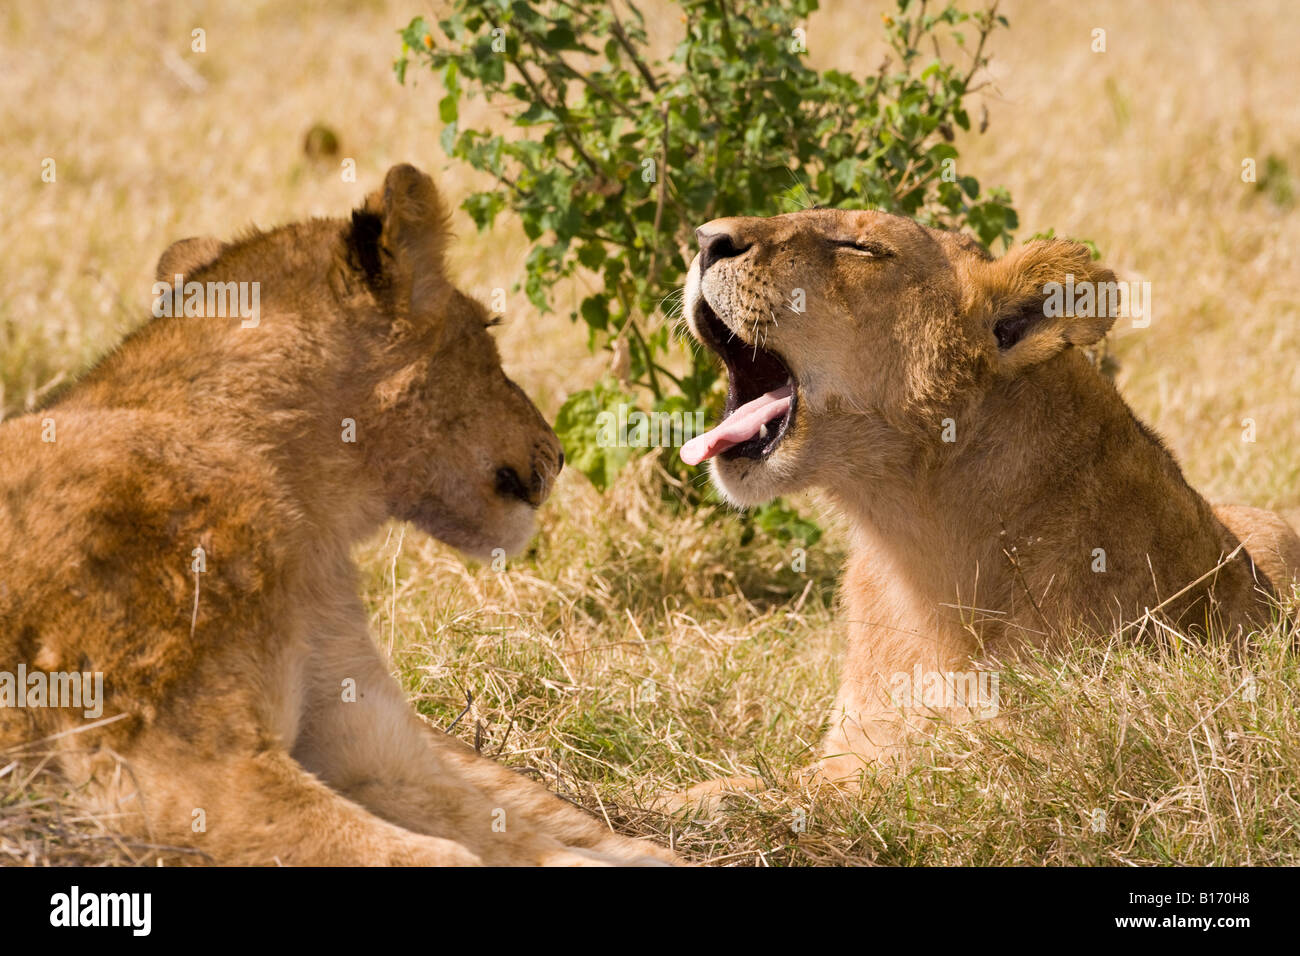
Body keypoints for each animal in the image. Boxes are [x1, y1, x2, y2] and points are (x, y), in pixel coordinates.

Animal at [0, 163, 677, 866]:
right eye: (489, 327)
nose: (561, 452)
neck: (307, 510)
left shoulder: (367, 745)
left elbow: (530, 839)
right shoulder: (166, 772)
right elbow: (451, 854)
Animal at [676, 208, 1300, 793]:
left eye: (860, 247)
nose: (705, 240)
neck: (910, 535)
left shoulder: (1013, 766)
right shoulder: (852, 744)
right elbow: (744, 787)